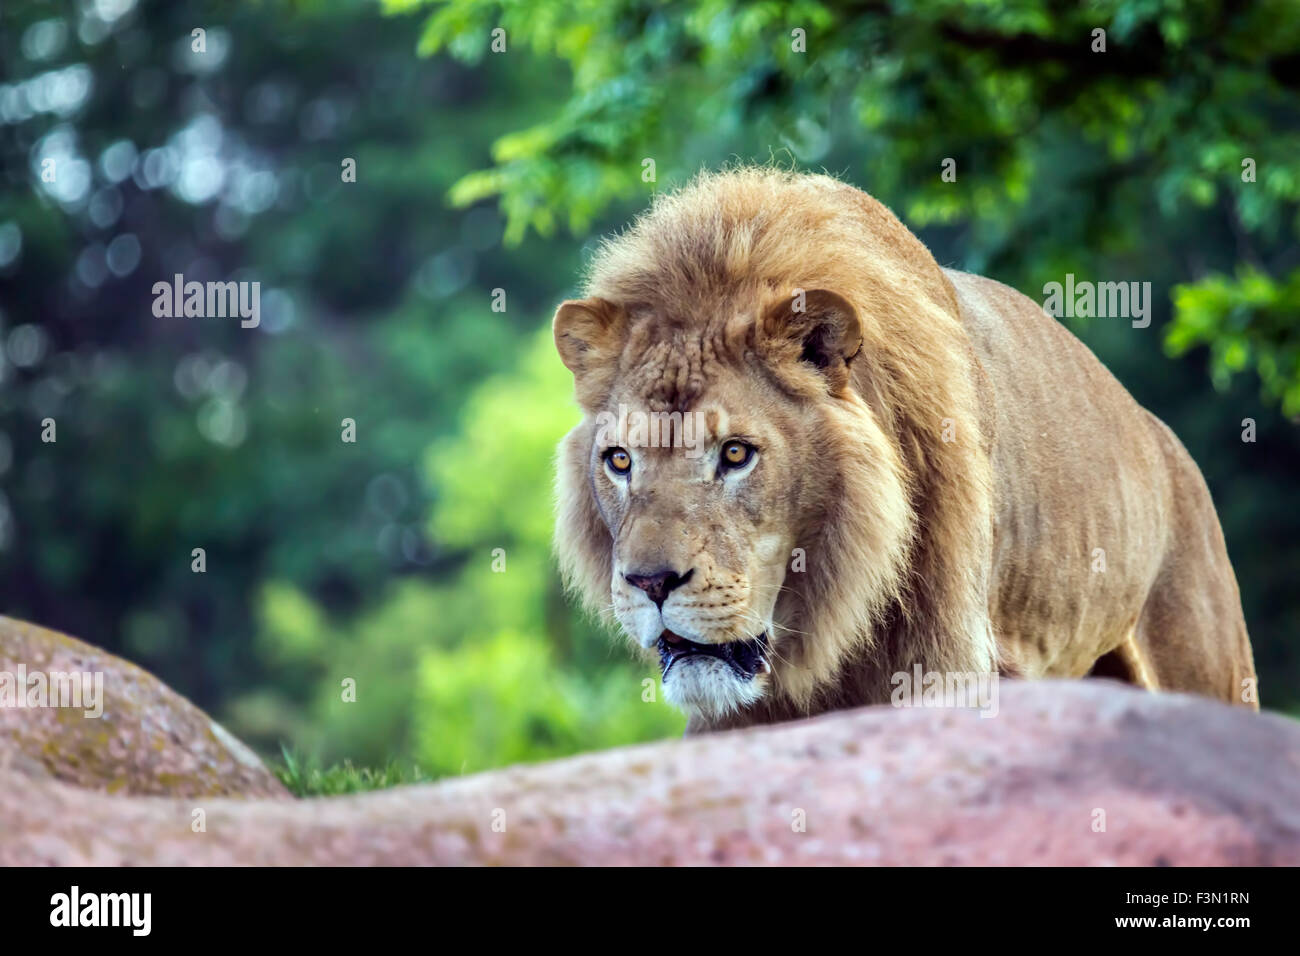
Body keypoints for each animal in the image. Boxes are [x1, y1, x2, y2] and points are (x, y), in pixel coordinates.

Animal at [552, 167, 1257, 732]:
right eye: (620, 461)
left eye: (734, 454)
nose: (649, 583)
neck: (826, 613)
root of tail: (1161, 438)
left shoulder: (946, 665)